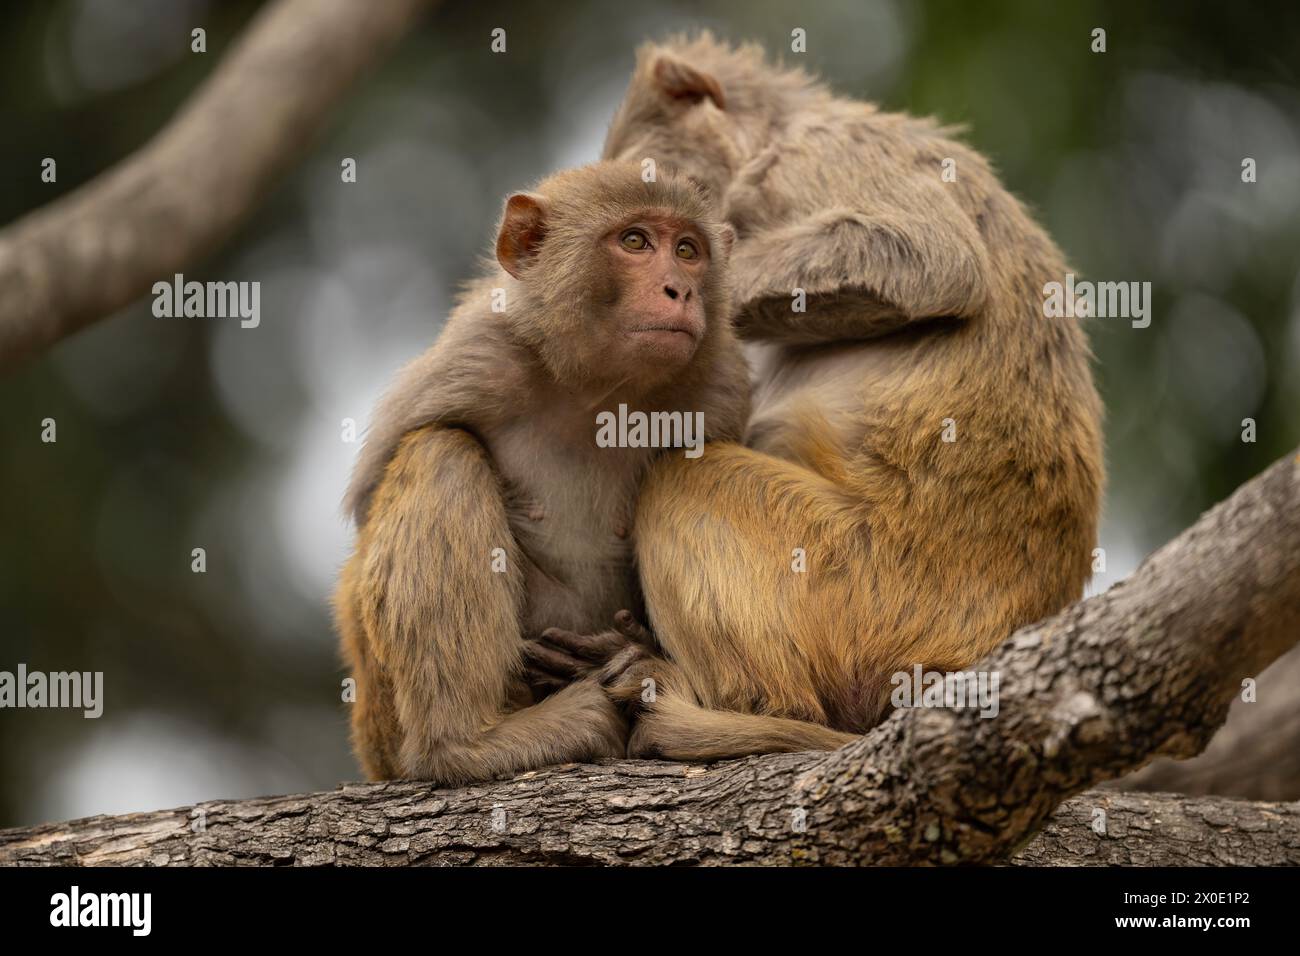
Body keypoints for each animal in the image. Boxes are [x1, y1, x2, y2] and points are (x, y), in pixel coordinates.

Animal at [332, 160, 748, 783]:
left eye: (688, 250)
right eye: (635, 242)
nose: (681, 289)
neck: (598, 392)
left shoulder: (719, 386)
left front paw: (635, 653)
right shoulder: (476, 354)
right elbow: (370, 504)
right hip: (381, 731)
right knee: (441, 451)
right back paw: (464, 745)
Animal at [526, 35, 1104, 762]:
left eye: (664, 230)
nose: (663, 280)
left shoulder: (818, 156)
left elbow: (935, 262)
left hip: (861, 591)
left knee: (687, 481)